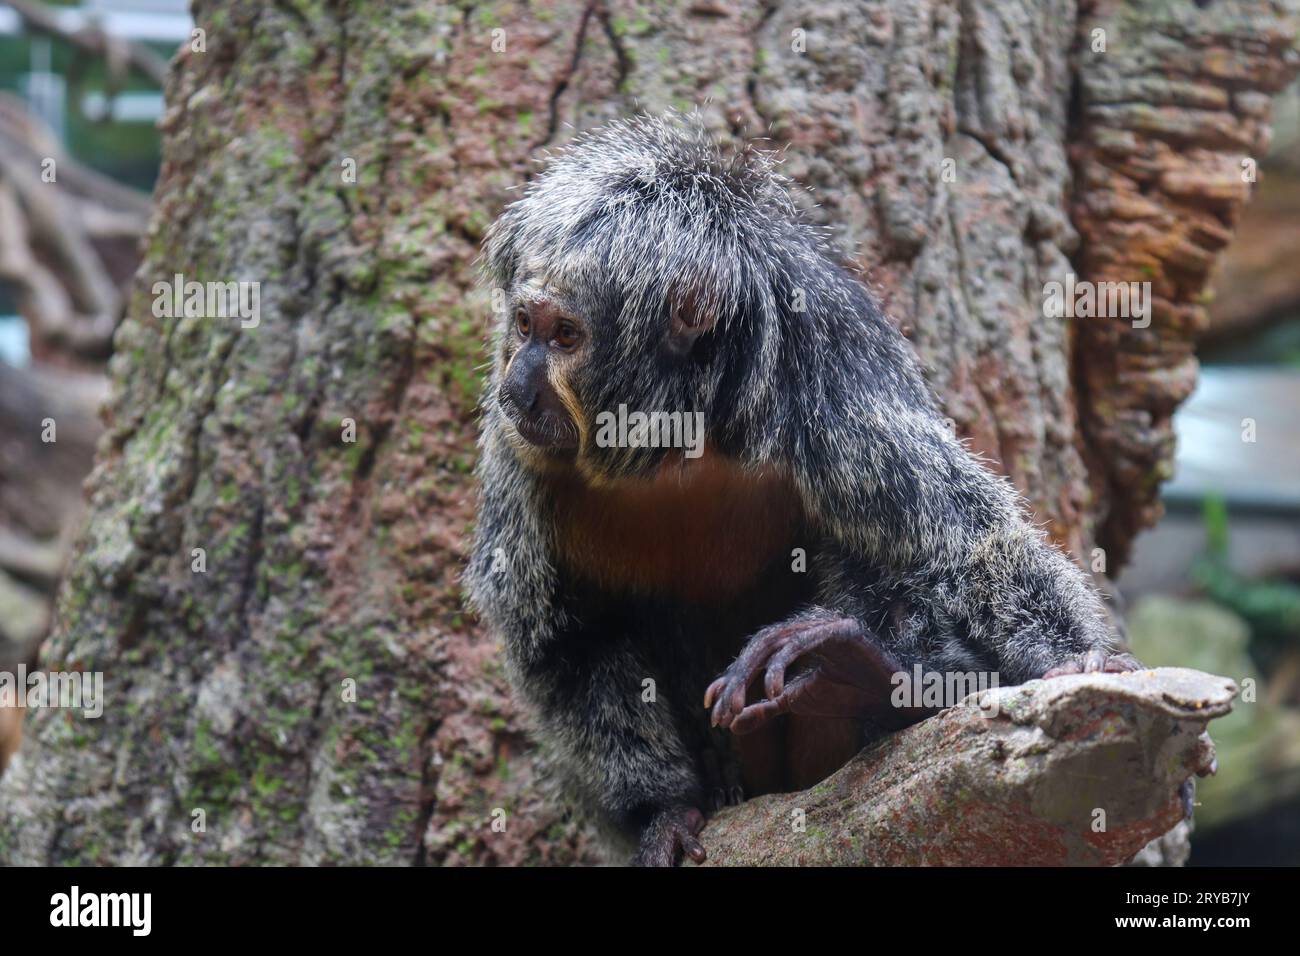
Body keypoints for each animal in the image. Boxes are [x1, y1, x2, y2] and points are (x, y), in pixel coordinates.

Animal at [466, 113, 1167, 867]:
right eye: (525, 327)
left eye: (566, 336)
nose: (519, 386)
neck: (675, 434)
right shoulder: (520, 454)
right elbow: (568, 641)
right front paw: (665, 807)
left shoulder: (825, 368)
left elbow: (963, 543)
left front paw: (1076, 661)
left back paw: (863, 682)